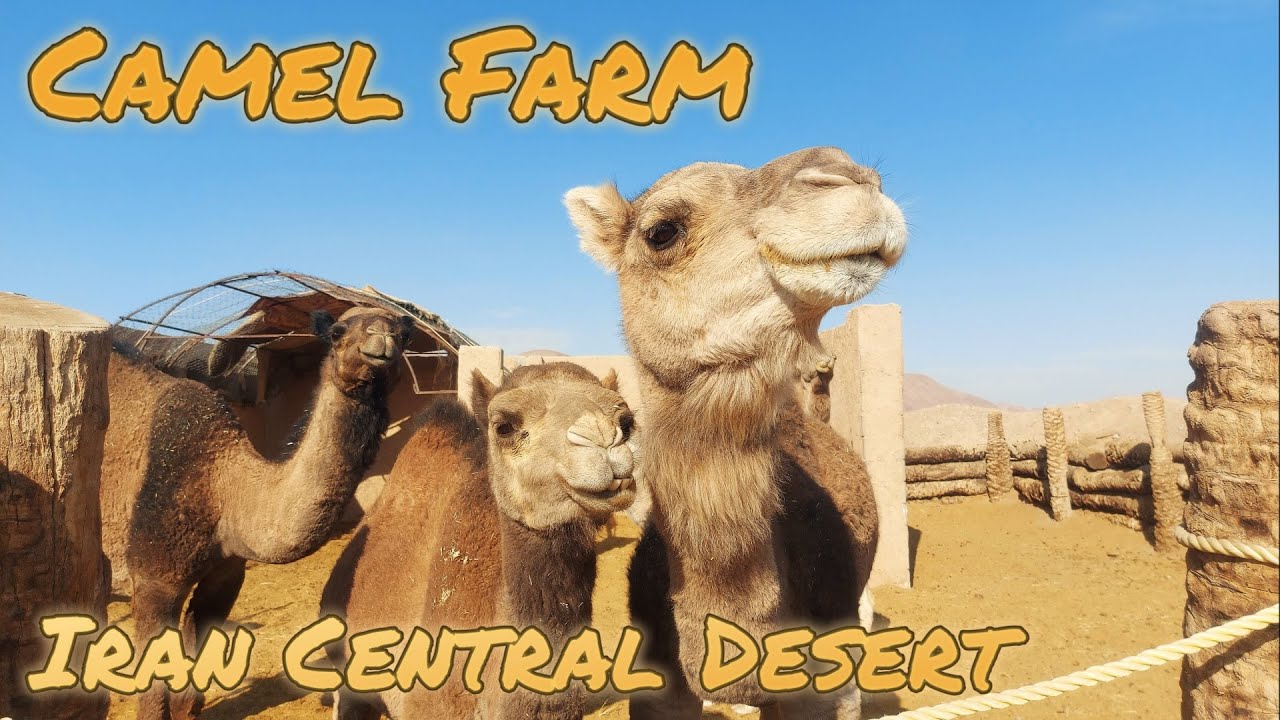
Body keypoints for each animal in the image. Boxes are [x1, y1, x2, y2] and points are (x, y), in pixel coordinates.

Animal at [110, 306, 411, 720]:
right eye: (337, 332)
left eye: (404, 335)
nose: (381, 337)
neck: (224, 485)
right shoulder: (154, 575)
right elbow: (154, 691)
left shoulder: (226, 575)